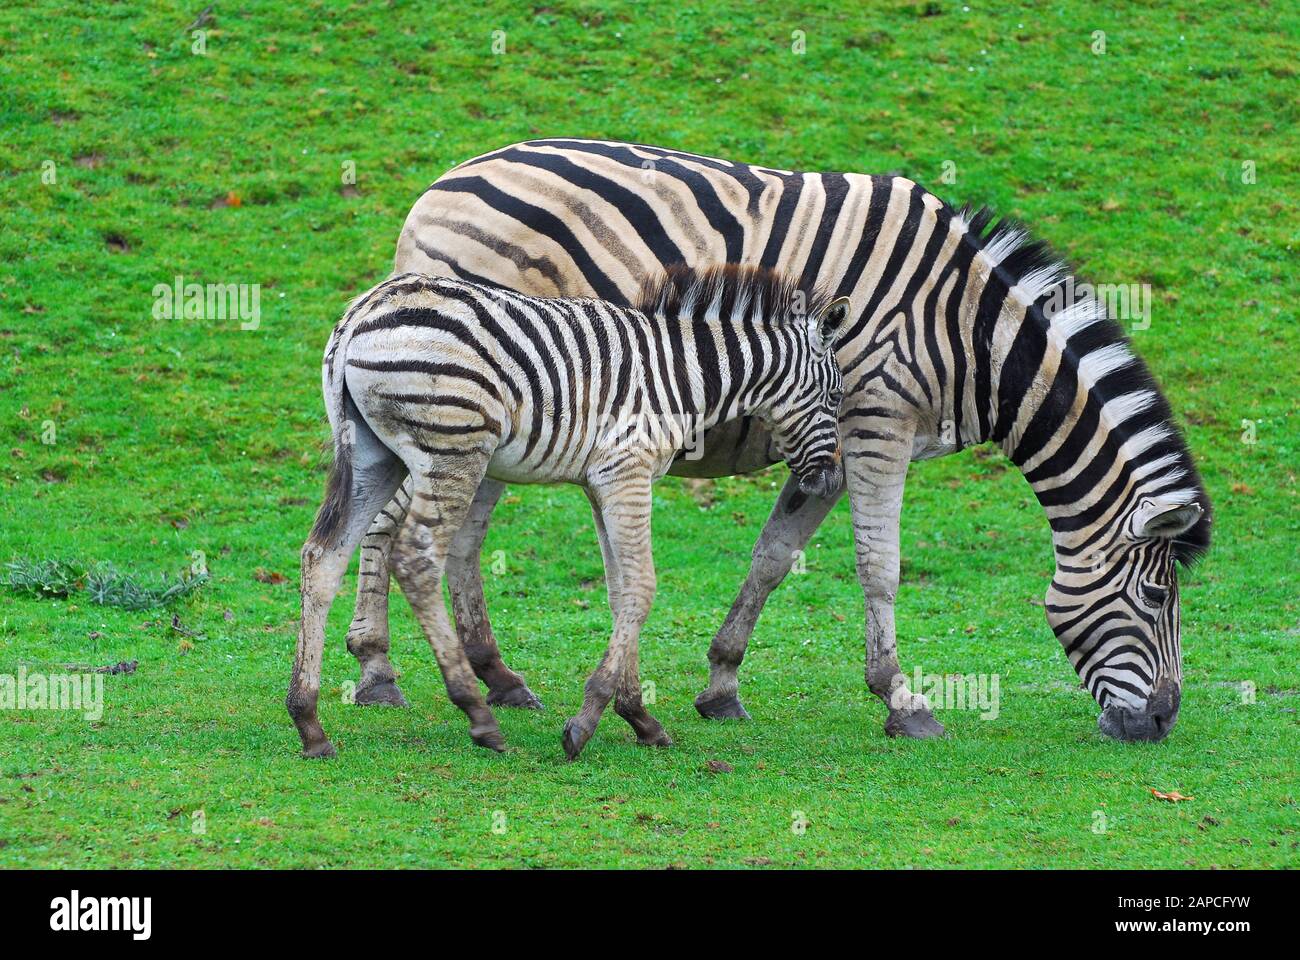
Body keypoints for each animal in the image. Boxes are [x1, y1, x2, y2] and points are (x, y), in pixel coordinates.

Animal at [288, 265, 849, 758]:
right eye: (835, 395)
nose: (827, 481)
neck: (685, 372)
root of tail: (361, 313)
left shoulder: (601, 483)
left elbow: (620, 590)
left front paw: (638, 716)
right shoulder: (628, 470)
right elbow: (642, 586)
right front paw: (588, 720)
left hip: (373, 454)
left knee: (323, 556)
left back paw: (309, 721)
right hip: (452, 449)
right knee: (416, 559)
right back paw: (477, 714)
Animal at [344, 138, 1211, 744]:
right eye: (1158, 597)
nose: (1163, 722)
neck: (969, 333)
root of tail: (444, 182)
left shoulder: (831, 442)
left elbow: (773, 555)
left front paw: (721, 685)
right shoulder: (876, 424)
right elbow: (880, 567)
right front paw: (903, 701)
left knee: (458, 535)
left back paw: (496, 675)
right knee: (392, 525)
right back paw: (380, 669)